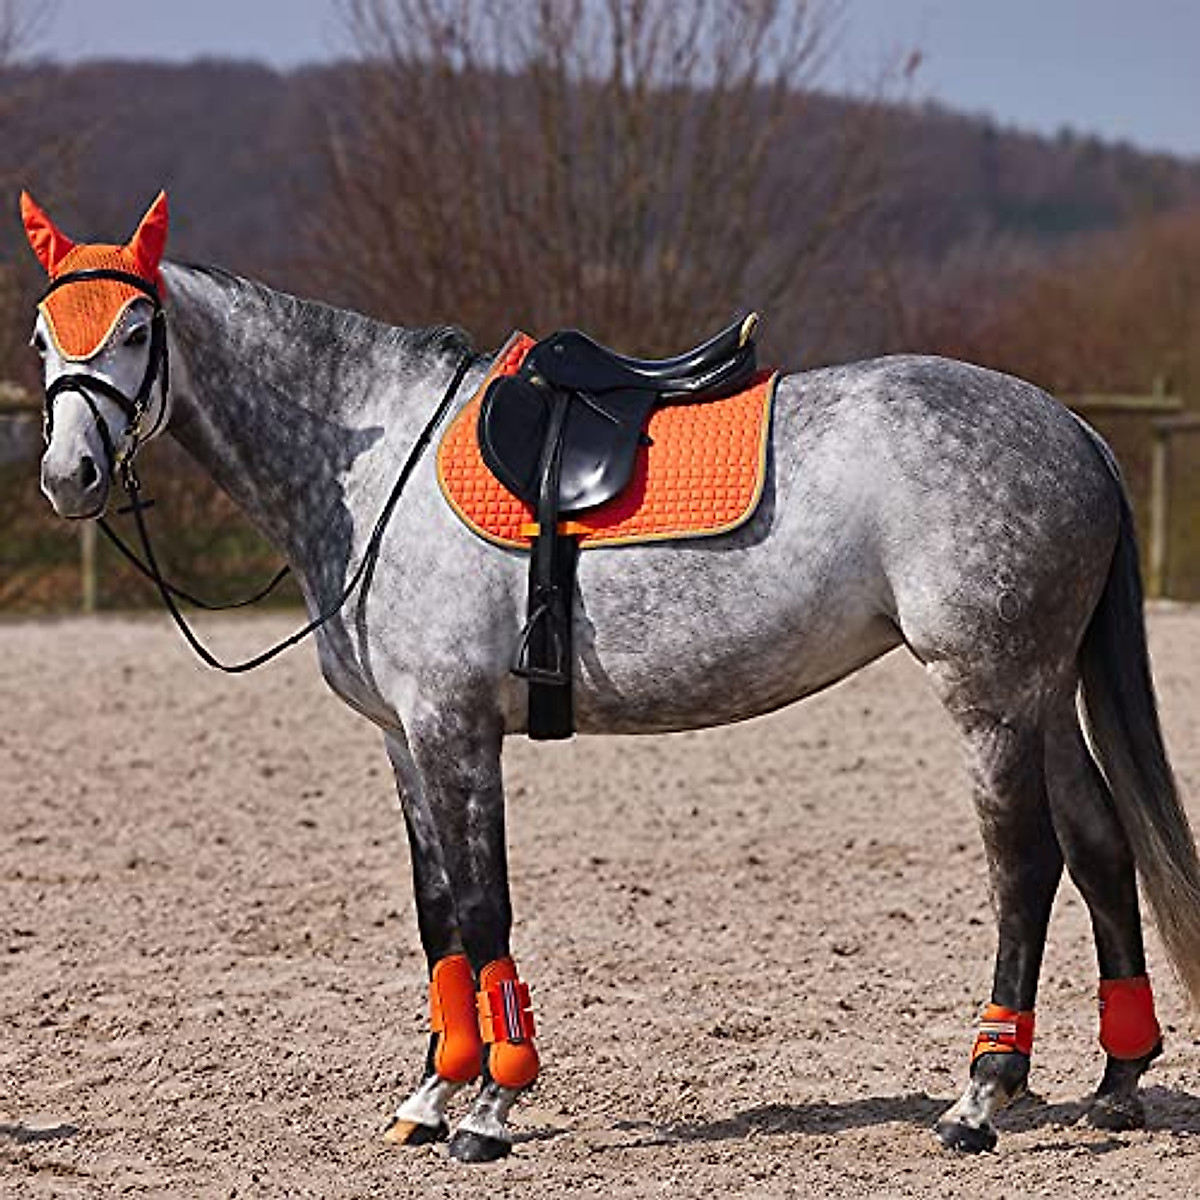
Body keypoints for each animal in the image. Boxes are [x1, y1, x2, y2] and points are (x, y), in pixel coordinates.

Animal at [21, 192, 1200, 1163]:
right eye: (41, 336)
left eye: (136, 333)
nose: (68, 476)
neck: (378, 467)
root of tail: (1074, 429)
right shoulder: (403, 739)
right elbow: (438, 915)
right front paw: (430, 1096)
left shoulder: (454, 729)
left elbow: (485, 909)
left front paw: (491, 1109)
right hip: (1041, 691)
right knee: (1100, 846)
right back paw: (1115, 1082)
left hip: (987, 692)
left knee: (1026, 867)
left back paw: (980, 1097)